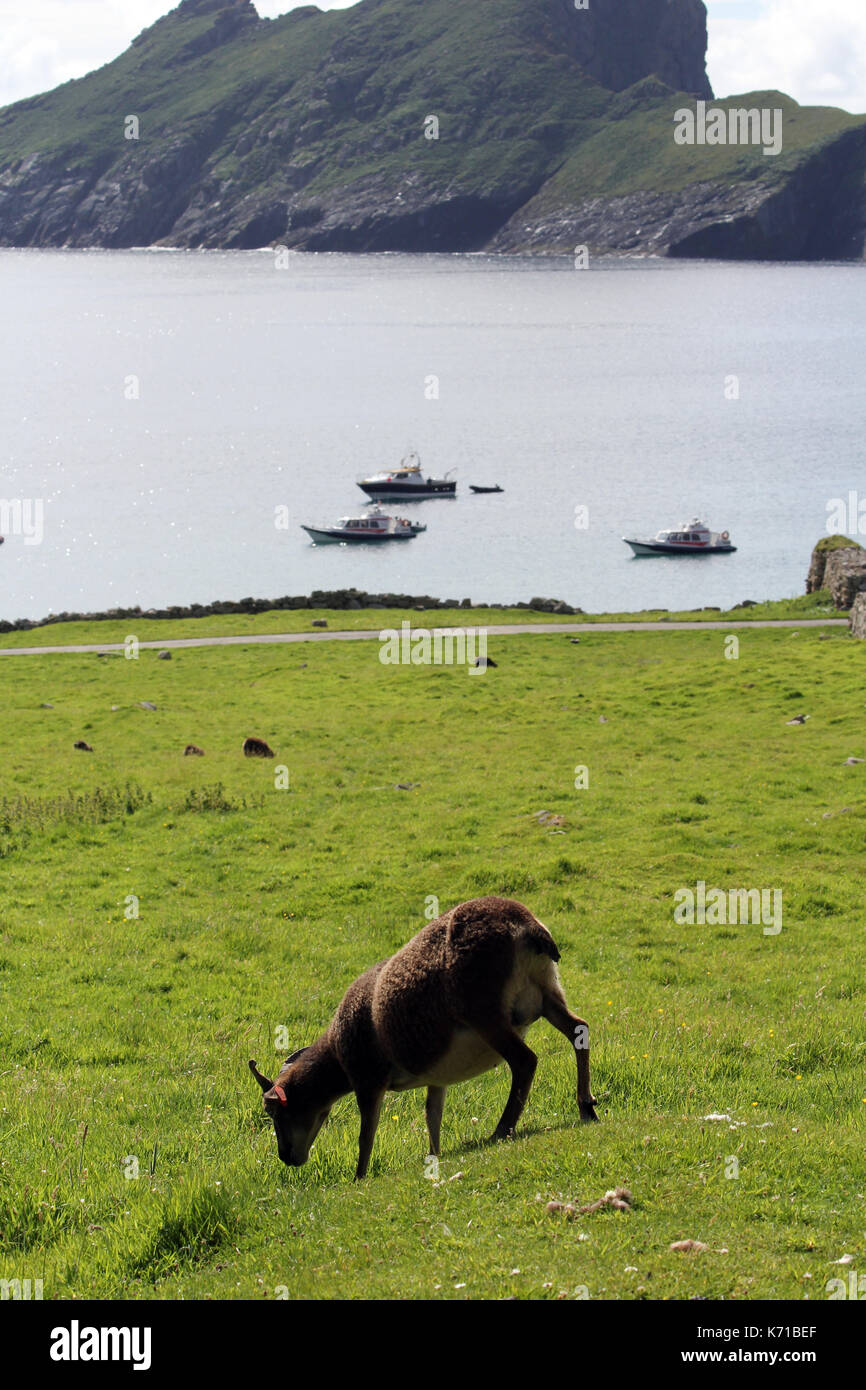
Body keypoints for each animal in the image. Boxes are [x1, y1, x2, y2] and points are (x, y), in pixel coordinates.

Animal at [249, 896, 597, 1179]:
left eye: (275, 1112)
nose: (286, 1157)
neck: (338, 1054)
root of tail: (529, 928)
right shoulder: (437, 1077)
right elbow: (433, 1115)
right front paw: (434, 1154)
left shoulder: (369, 1081)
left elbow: (366, 1134)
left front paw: (359, 1177)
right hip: (547, 994)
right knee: (578, 1030)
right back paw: (586, 1106)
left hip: (486, 1013)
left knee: (525, 1060)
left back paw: (502, 1129)